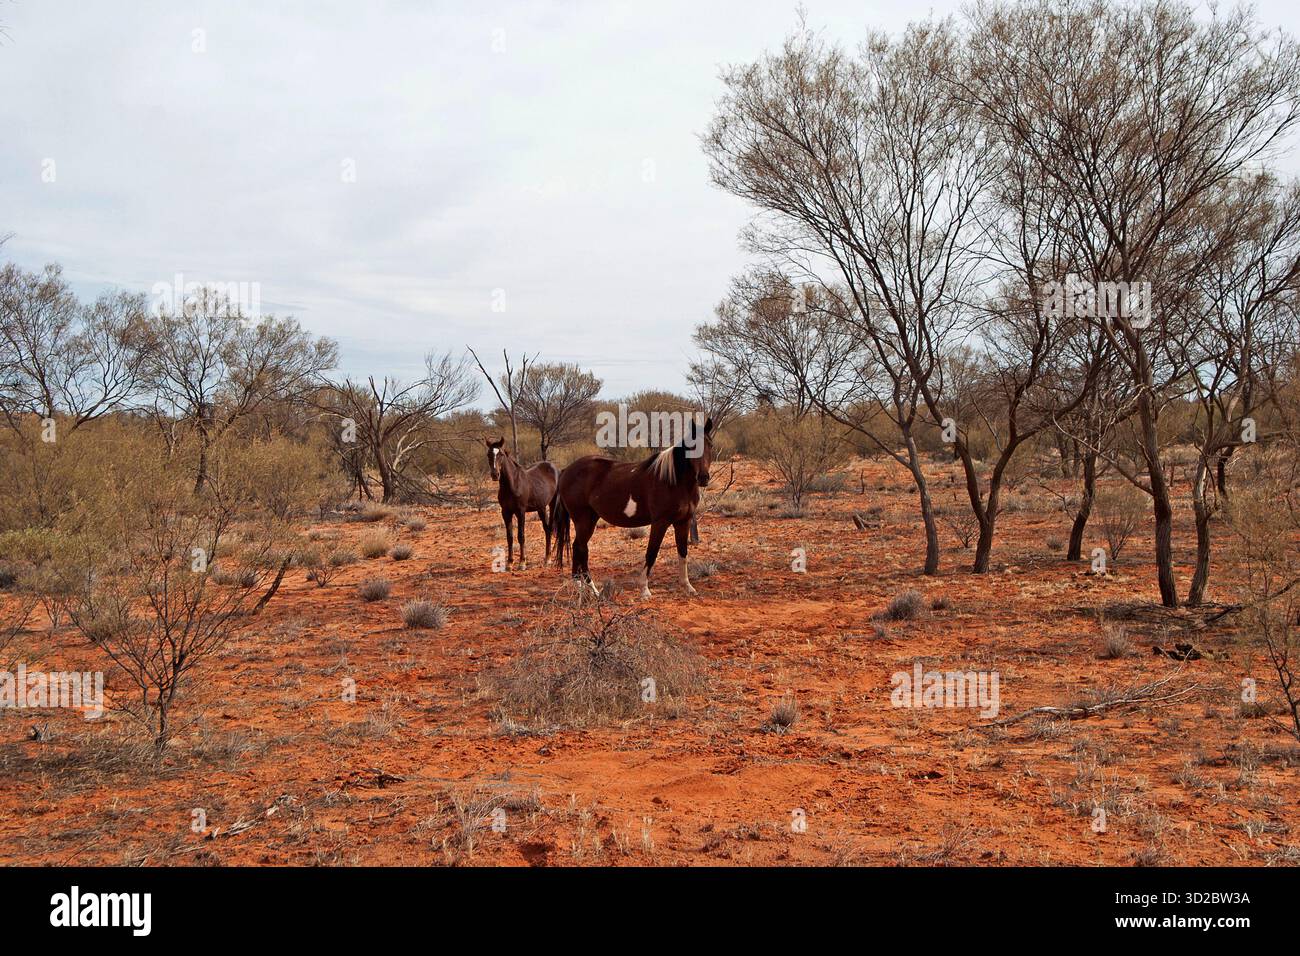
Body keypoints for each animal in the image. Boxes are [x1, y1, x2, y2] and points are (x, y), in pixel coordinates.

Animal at [485, 437, 560, 570]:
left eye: (501, 454)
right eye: (489, 454)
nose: (495, 475)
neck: (513, 484)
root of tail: (554, 468)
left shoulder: (520, 512)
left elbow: (521, 536)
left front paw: (522, 563)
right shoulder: (506, 513)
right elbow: (509, 537)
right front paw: (509, 563)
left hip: (553, 504)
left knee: (550, 528)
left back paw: (549, 559)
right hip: (541, 508)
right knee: (547, 529)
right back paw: (547, 558)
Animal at [553, 416, 713, 598]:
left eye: (710, 445)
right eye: (692, 446)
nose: (703, 478)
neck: (674, 481)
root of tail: (566, 470)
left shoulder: (683, 522)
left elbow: (683, 552)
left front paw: (687, 586)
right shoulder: (660, 522)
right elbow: (651, 553)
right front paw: (644, 589)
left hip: (590, 519)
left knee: (576, 548)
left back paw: (580, 588)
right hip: (583, 520)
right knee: (581, 548)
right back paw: (592, 590)